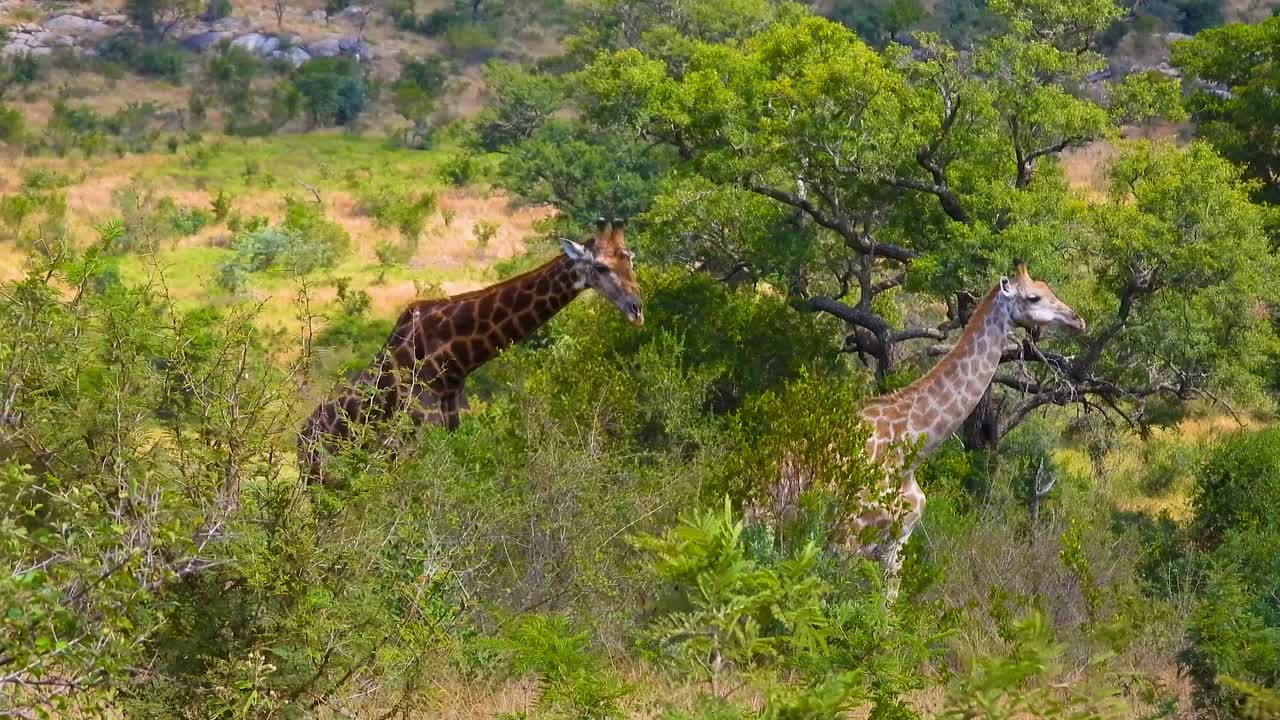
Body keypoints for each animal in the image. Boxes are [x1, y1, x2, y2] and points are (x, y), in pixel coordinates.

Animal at [299, 218, 643, 485]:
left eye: (630, 260)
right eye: (600, 266)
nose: (636, 310)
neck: (455, 359)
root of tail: (300, 437)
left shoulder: (450, 431)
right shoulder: (413, 439)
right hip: (318, 478)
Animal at [842, 261, 1085, 598]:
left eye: (1048, 287)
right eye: (1034, 297)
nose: (1078, 319)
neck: (907, 453)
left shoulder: (896, 542)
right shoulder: (848, 535)